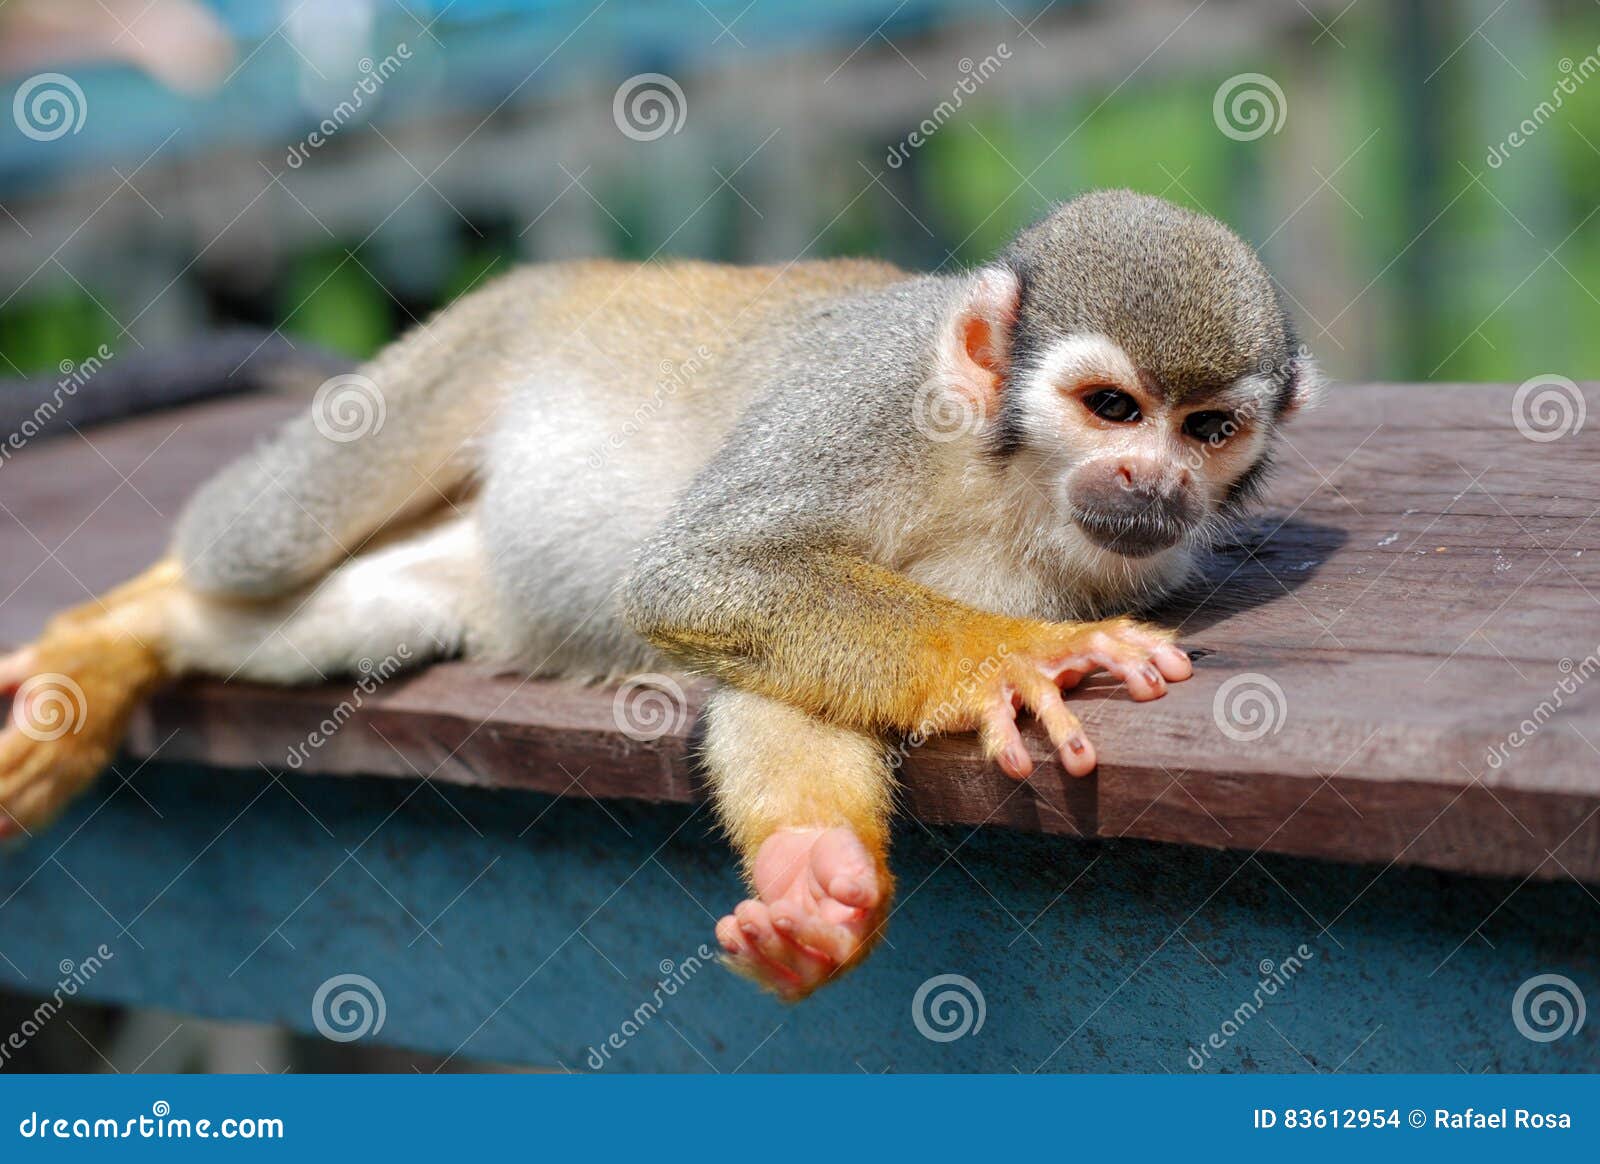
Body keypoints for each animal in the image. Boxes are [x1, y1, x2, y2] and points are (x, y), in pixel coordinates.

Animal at [0, 189, 1316, 1000]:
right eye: (1111, 408)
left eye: (1205, 429)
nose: (1152, 480)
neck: (1007, 478)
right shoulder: (871, 396)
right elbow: (701, 574)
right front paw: (1009, 661)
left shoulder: (1101, 555)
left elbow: (776, 684)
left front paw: (814, 888)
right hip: (470, 343)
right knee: (252, 547)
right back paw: (122, 618)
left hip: (470, 555)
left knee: (368, 607)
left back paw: (129, 638)